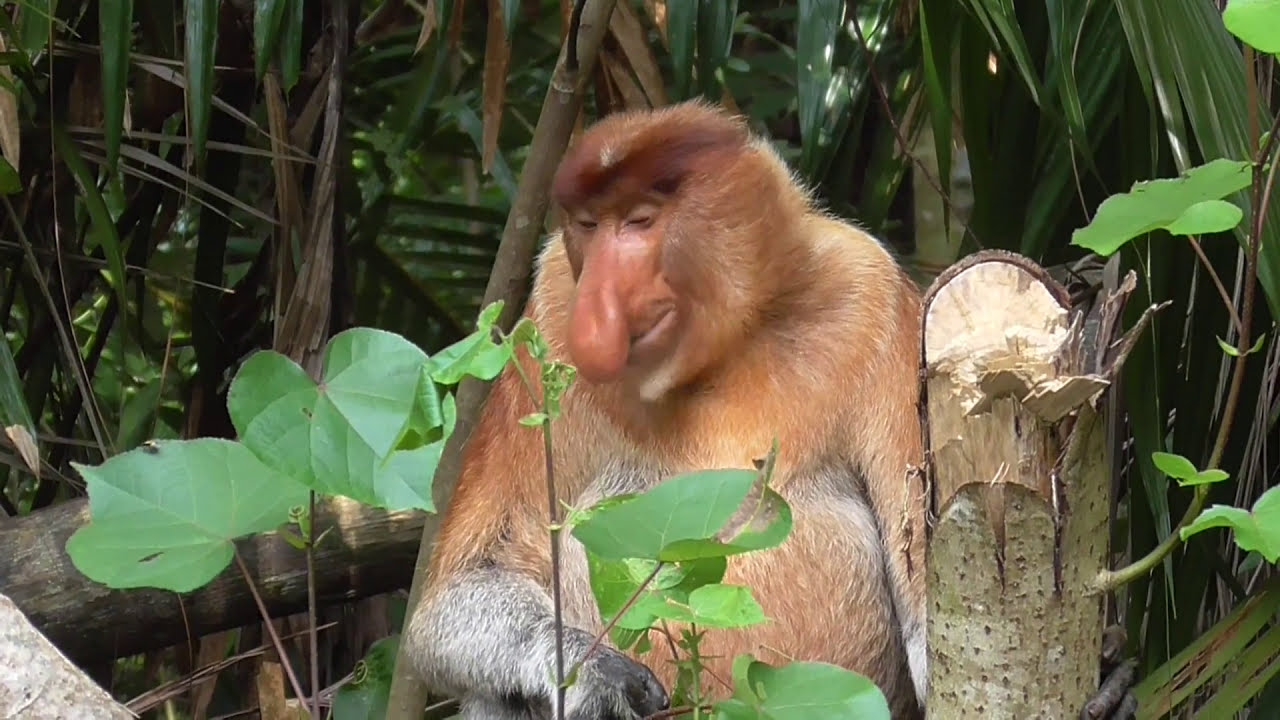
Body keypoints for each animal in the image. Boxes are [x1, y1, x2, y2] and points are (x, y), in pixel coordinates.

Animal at [404, 100, 928, 720]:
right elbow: (459, 592)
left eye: (639, 221)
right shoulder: (552, 304)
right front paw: (599, 676)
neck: (726, 348)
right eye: (588, 226)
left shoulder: (876, 297)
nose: (597, 309)